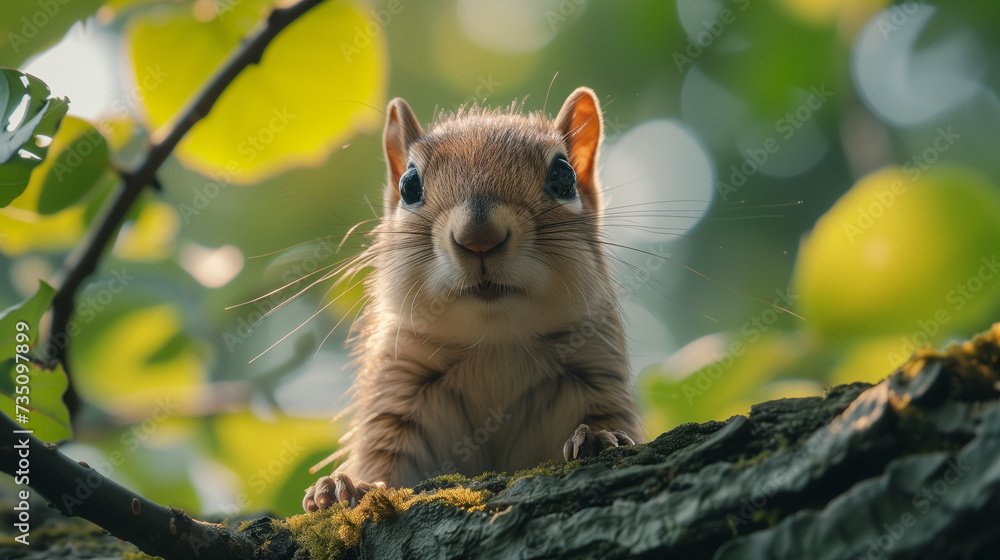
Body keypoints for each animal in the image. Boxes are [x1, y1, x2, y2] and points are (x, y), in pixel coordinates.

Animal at [303, 87, 642, 511]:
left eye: (563, 177)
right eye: (409, 185)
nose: (479, 237)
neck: (495, 342)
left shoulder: (597, 366)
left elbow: (608, 419)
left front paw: (598, 436)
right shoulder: (396, 395)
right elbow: (382, 464)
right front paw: (342, 485)